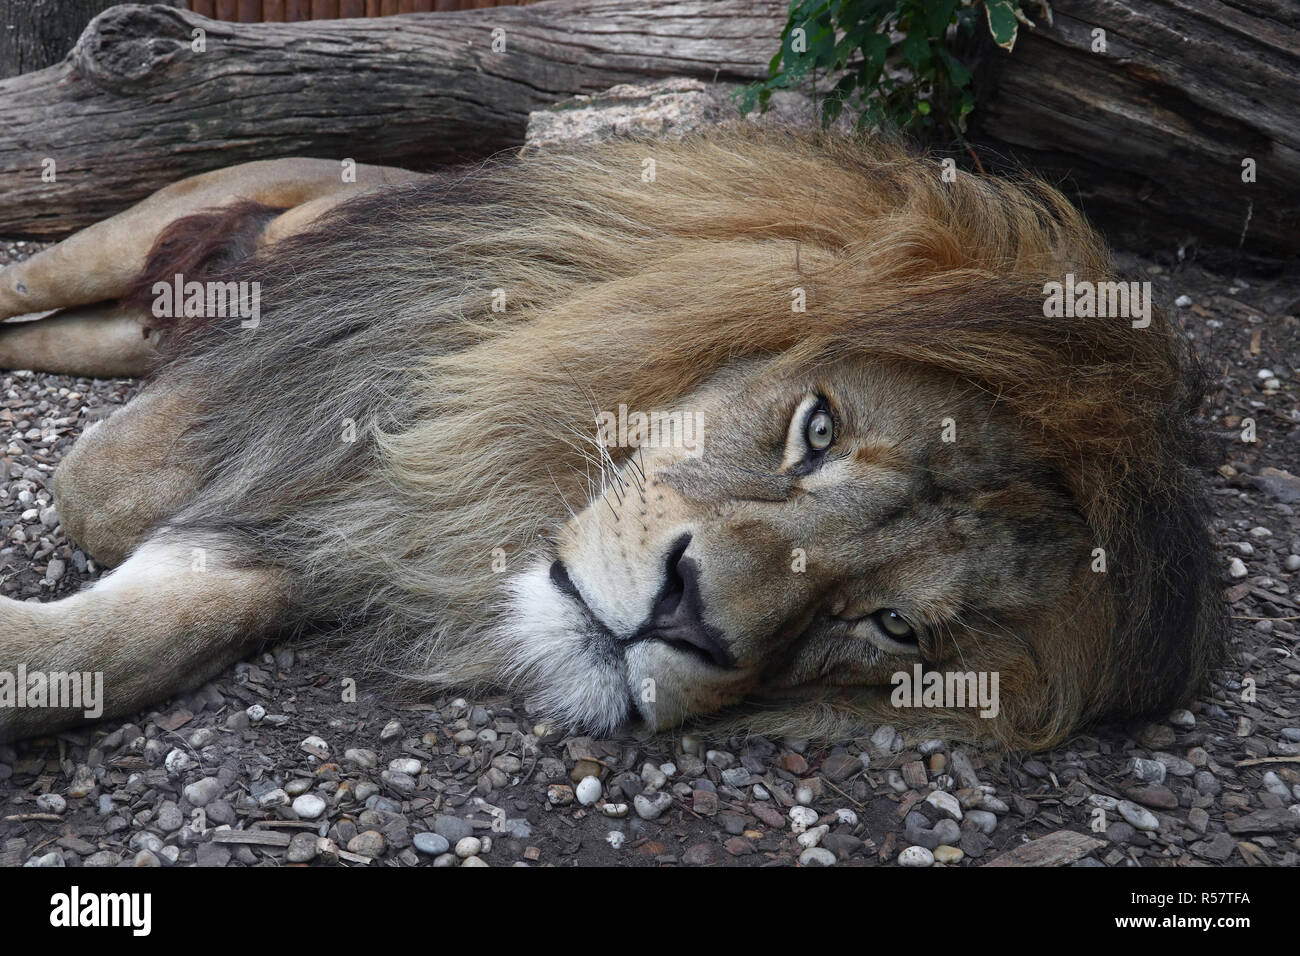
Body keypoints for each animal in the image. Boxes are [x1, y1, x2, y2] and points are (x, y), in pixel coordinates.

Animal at [0, 128, 1222, 749]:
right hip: (110, 252)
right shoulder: (299, 407)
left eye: (890, 627)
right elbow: (98, 492)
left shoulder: (359, 531)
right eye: (817, 428)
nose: (685, 620)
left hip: (106, 340)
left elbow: (127, 641)